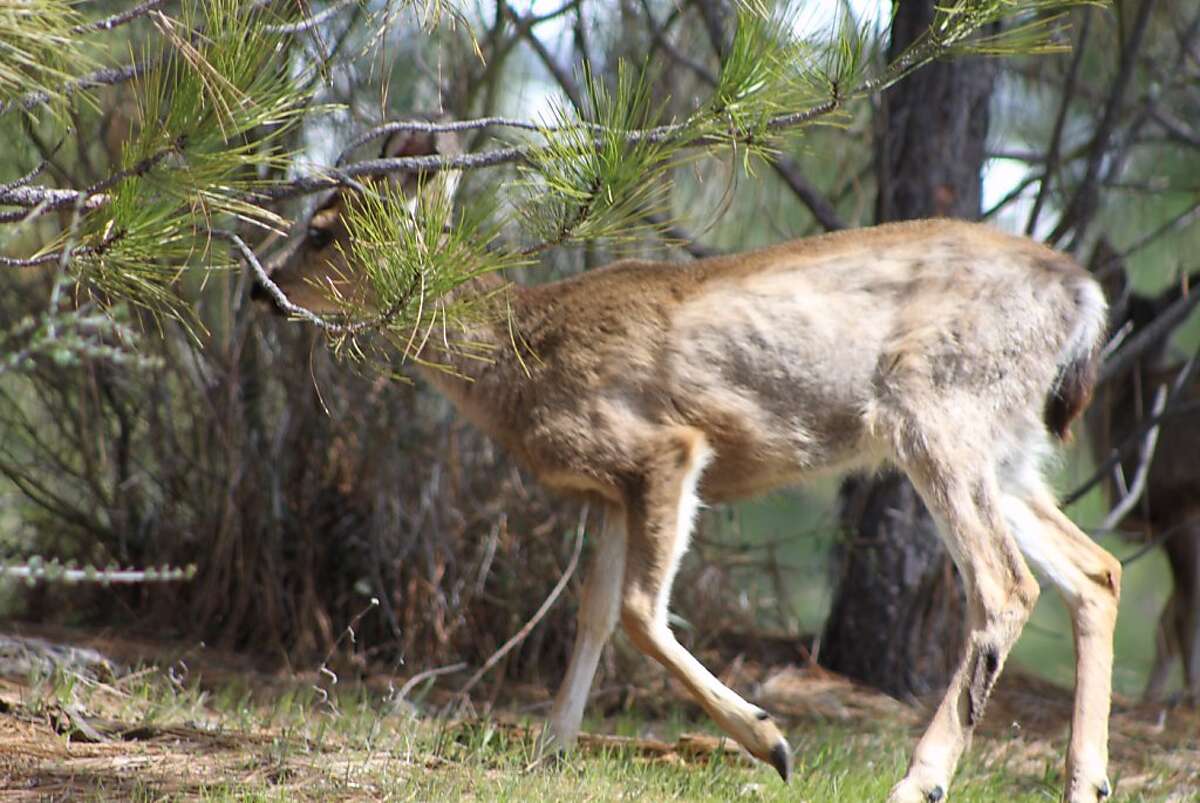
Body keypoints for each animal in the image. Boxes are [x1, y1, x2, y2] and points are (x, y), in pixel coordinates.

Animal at [251, 124, 1120, 803]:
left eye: (323, 230)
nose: (261, 289)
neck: (517, 361)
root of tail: (1085, 296)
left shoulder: (664, 448)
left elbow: (641, 609)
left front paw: (771, 740)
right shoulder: (605, 491)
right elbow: (593, 613)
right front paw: (550, 747)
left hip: (937, 405)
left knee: (1006, 584)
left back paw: (921, 777)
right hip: (1006, 447)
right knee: (1096, 571)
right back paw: (1087, 780)